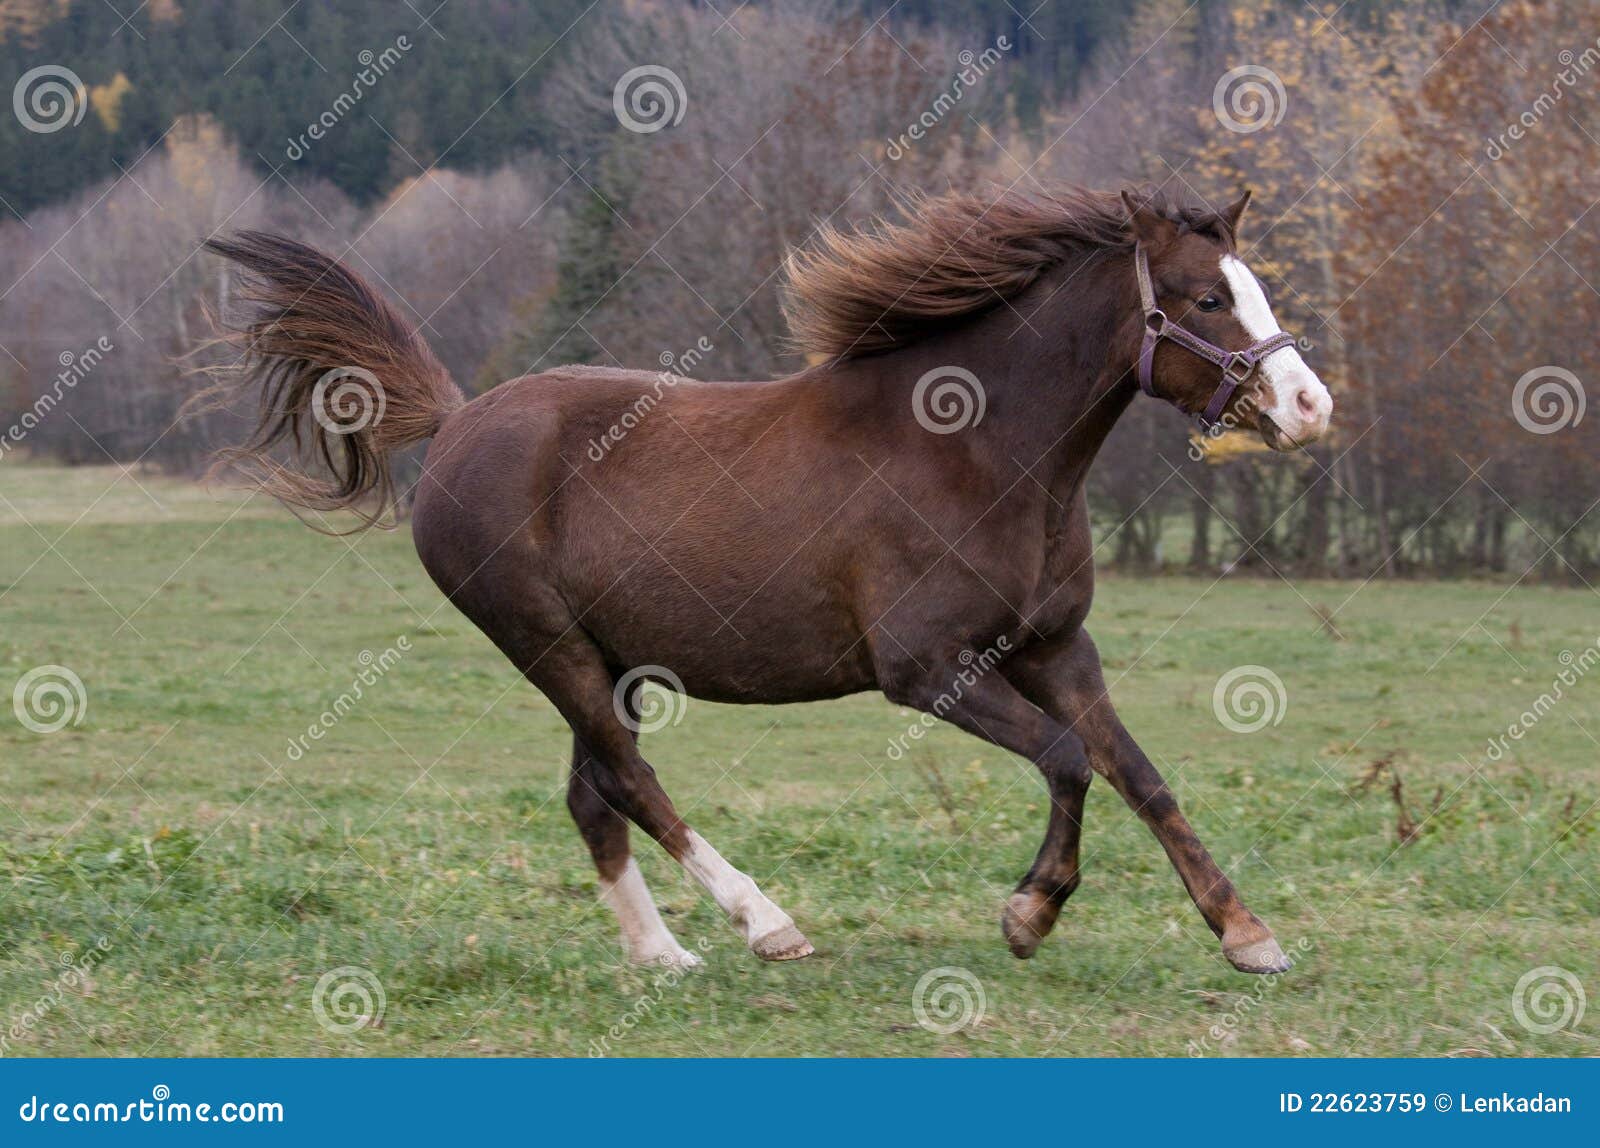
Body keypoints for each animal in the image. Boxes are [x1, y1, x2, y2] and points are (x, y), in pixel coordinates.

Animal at [201, 184, 1332, 975]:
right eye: (1205, 298)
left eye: (1254, 288)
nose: (1311, 405)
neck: (980, 451)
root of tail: (454, 423)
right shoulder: (928, 671)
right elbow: (1066, 760)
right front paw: (1028, 913)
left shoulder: (1057, 647)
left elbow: (1139, 774)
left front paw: (1247, 934)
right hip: (545, 644)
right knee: (630, 779)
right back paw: (766, 923)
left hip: (611, 657)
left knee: (592, 792)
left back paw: (662, 955)